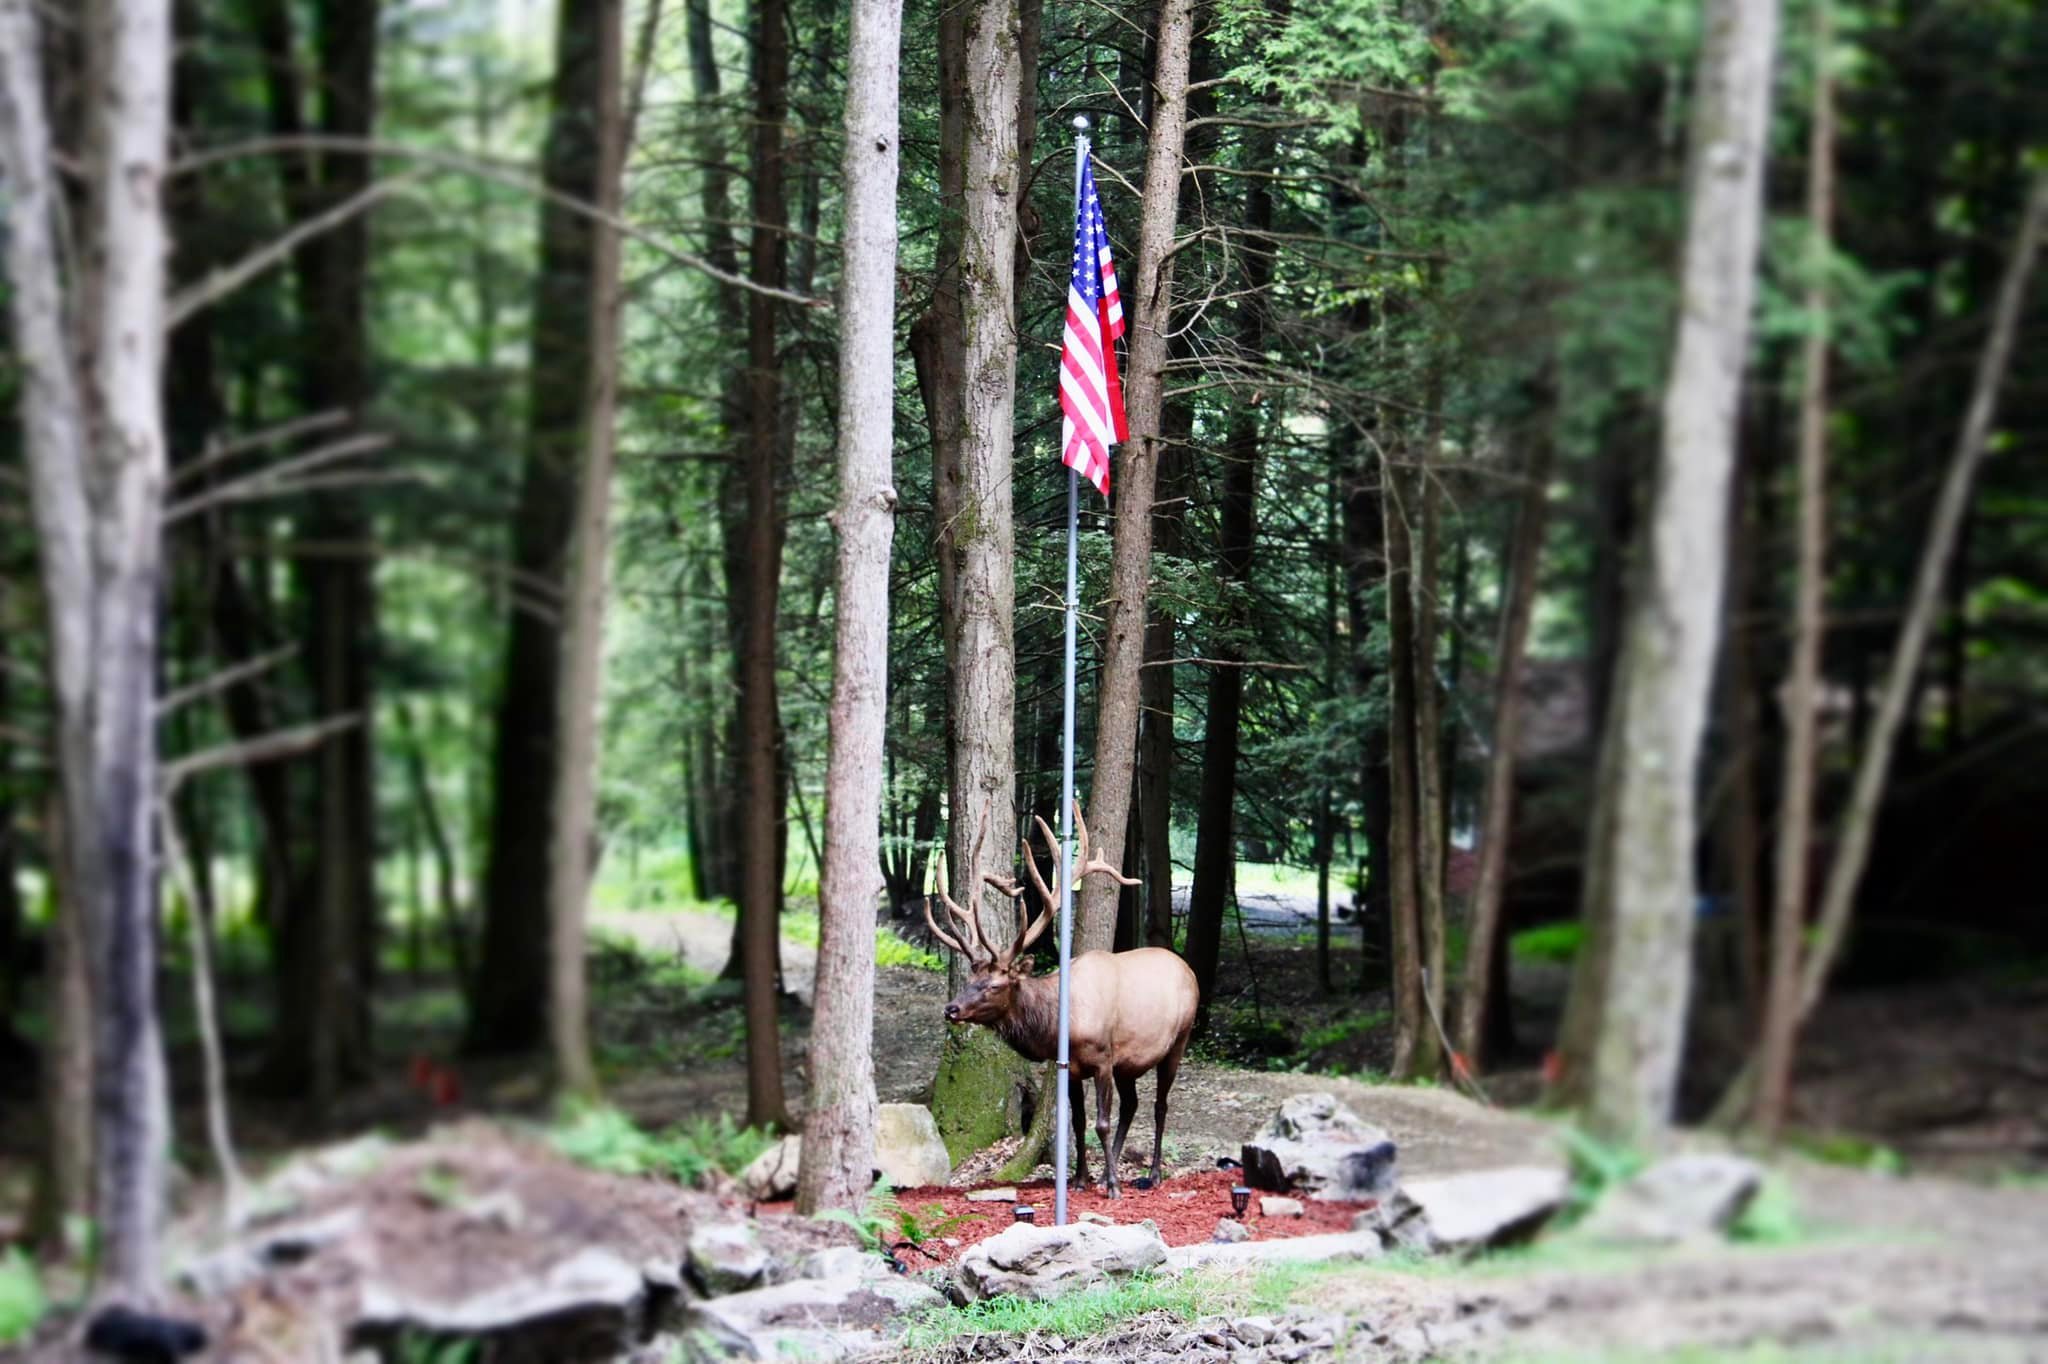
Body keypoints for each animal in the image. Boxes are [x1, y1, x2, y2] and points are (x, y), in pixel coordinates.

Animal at [925, 802, 1199, 1198]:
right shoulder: (1070, 1066)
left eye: (994, 985)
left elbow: (1100, 1122)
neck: (1060, 1023)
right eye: (970, 979)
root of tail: (1187, 969)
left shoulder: (1102, 1058)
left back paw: (1154, 1173)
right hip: (1129, 1062)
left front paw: (1112, 1186)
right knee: (1132, 1104)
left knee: (1160, 1104)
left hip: (1179, 1039)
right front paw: (1083, 1179)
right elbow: (1079, 1121)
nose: (952, 1009)